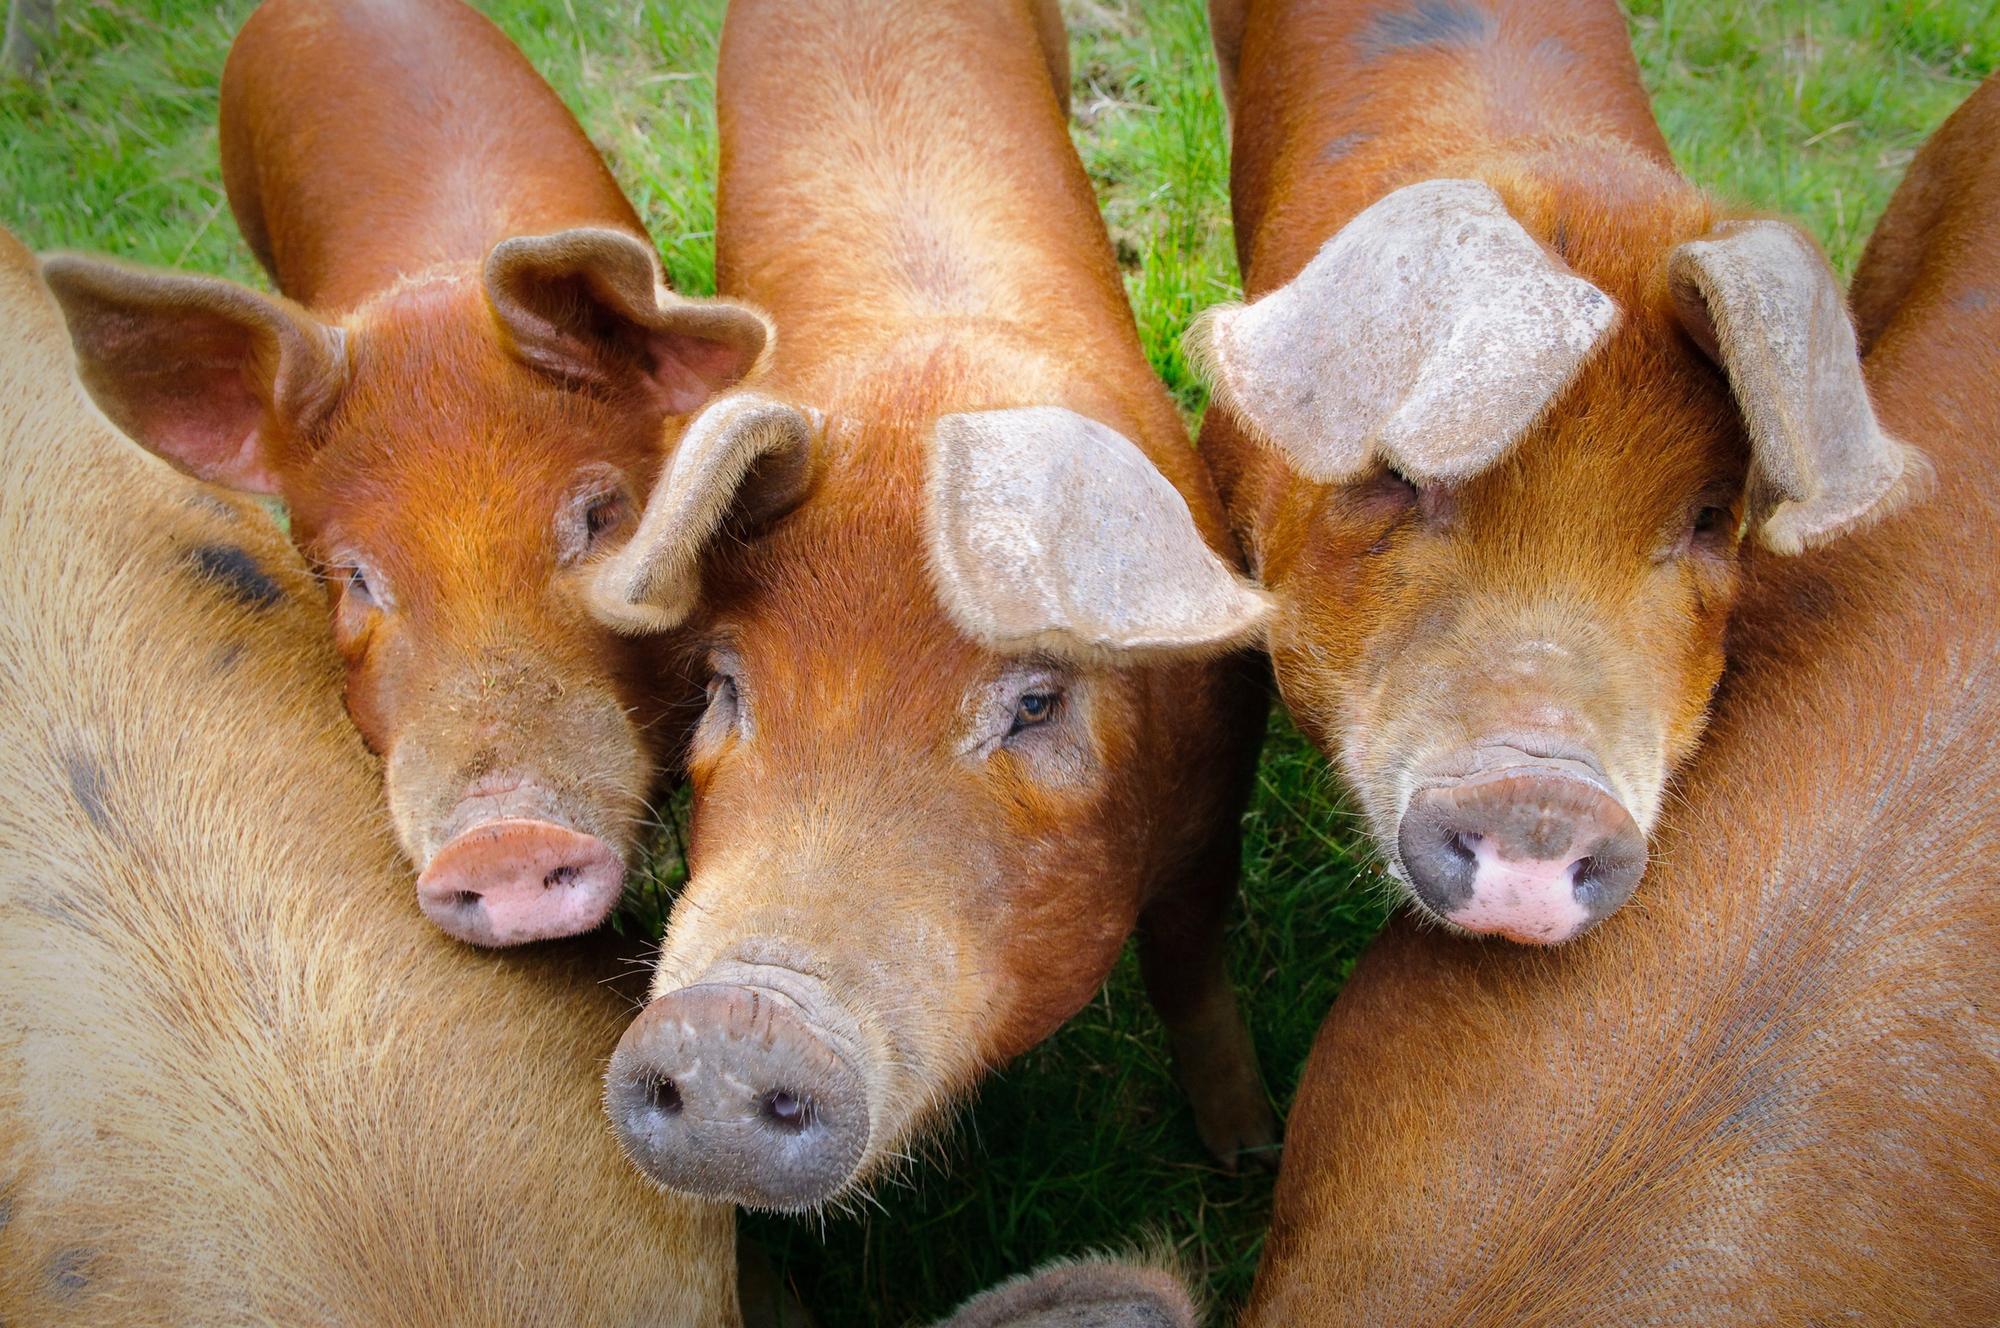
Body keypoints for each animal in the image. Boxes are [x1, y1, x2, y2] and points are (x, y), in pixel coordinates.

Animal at [586, 0, 1278, 1211]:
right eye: (724, 684)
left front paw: (1250, 1154)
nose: (737, 1022)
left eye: (1036, 703)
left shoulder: (1214, 802)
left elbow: (1189, 965)